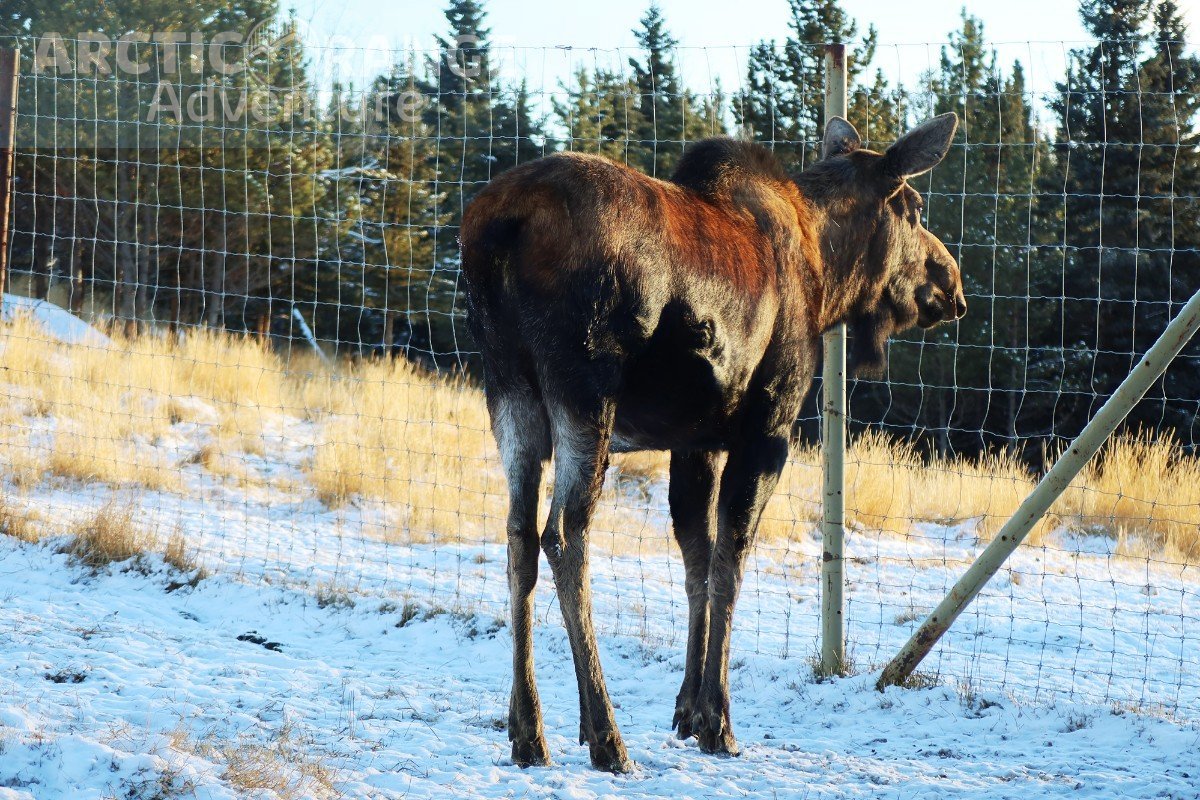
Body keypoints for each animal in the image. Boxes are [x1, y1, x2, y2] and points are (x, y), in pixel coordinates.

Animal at [459, 113, 964, 772]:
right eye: (915, 208)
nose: (951, 284)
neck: (829, 278)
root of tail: (495, 231)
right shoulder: (767, 429)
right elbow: (731, 560)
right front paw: (717, 721)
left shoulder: (693, 441)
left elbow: (696, 559)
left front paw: (685, 708)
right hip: (585, 391)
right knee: (565, 536)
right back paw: (605, 736)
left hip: (508, 390)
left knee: (519, 537)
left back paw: (527, 732)